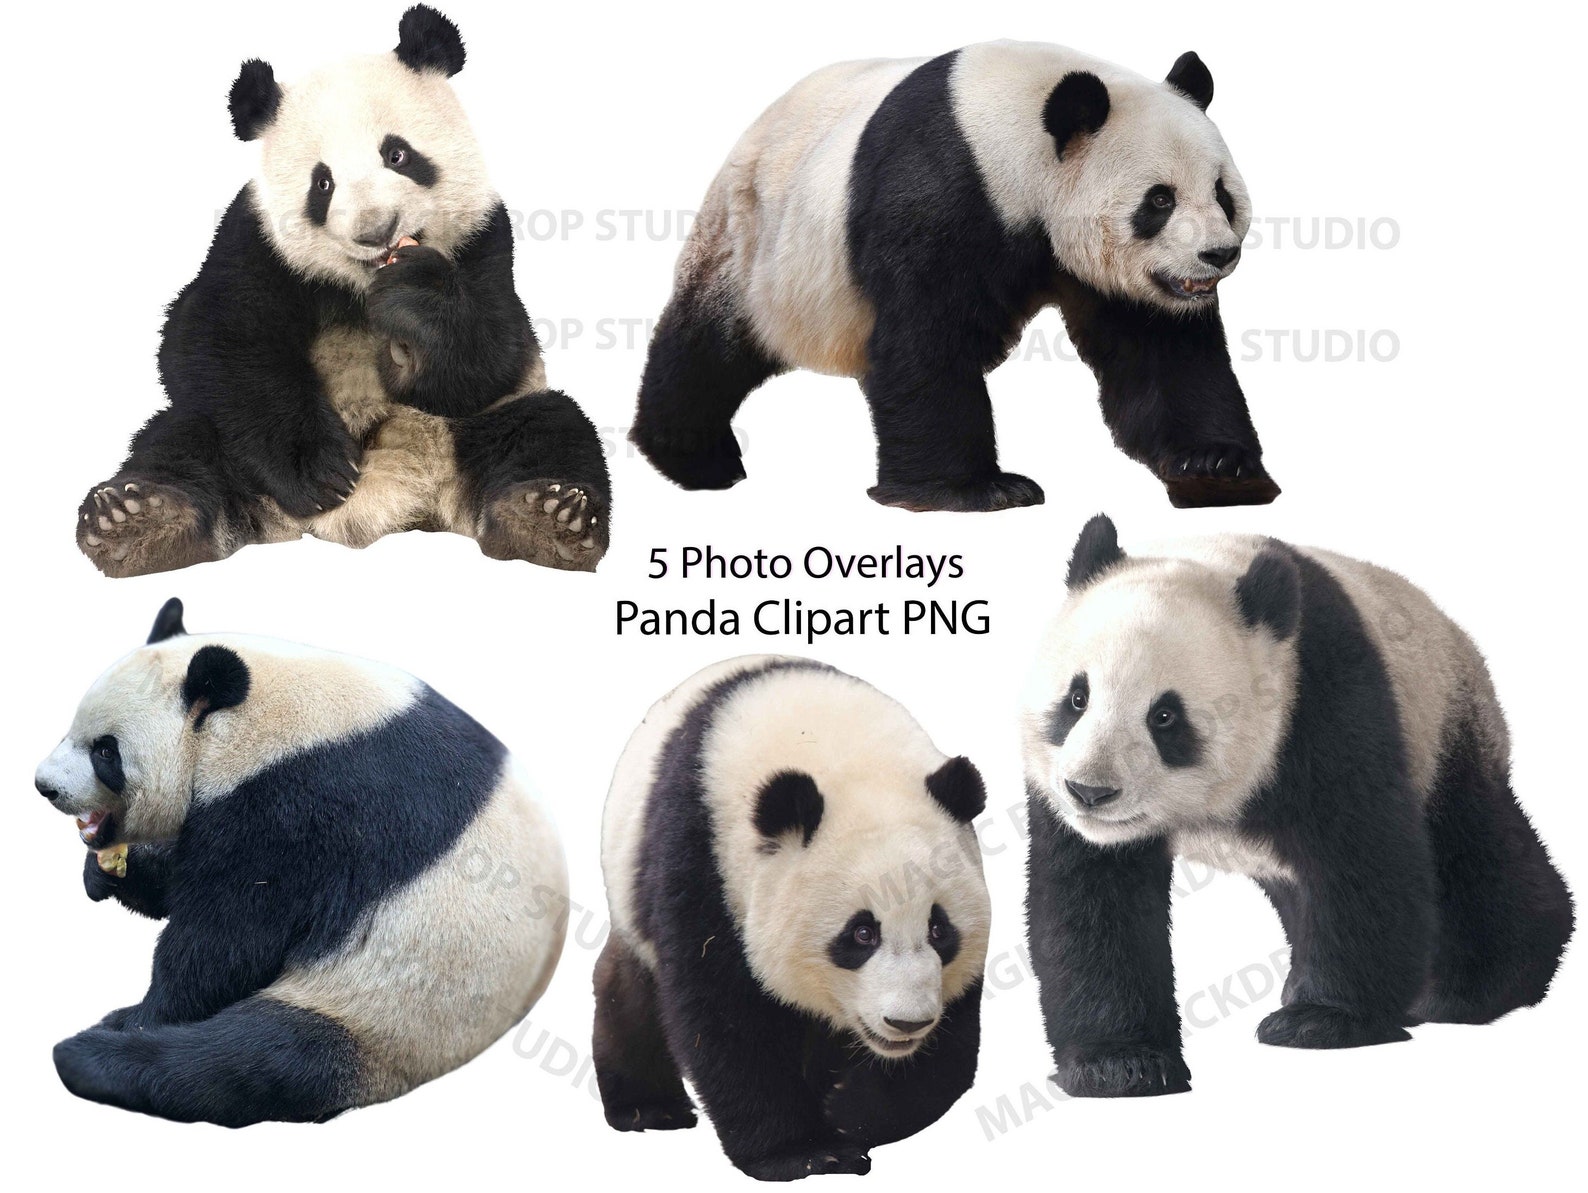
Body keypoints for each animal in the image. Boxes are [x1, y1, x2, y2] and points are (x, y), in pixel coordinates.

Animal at [33, 598, 568, 1125]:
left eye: (106, 751)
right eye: (72, 730)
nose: (45, 786)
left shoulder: (305, 806)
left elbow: (228, 938)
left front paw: (146, 1013)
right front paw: (105, 871)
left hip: (393, 1005)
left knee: (256, 1060)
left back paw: (92, 1053)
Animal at [76, 6, 610, 577]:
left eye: (398, 154)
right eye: (322, 184)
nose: (376, 231)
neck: (360, 285)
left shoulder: (486, 240)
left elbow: (494, 354)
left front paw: (416, 306)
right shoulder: (253, 242)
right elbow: (213, 334)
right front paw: (319, 471)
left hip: (473, 430)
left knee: (547, 427)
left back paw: (546, 517)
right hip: (223, 439)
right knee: (180, 439)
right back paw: (140, 520)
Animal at [596, 657, 991, 1180]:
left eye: (939, 929)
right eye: (861, 933)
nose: (906, 1023)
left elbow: (950, 1046)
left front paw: (849, 1111)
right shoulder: (702, 857)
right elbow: (725, 1019)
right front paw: (807, 1152)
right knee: (631, 993)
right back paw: (647, 1108)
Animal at [631, 40, 1274, 513]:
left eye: (1222, 194)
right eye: (1159, 200)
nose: (1217, 254)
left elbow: (1160, 350)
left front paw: (1215, 465)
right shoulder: (943, 189)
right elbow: (924, 337)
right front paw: (976, 490)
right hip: (756, 238)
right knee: (707, 346)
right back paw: (694, 457)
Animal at [1021, 516, 1574, 1096]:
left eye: (1165, 717)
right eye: (1077, 698)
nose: (1090, 792)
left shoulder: (1325, 703)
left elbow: (1361, 860)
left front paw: (1324, 1020)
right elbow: (1094, 903)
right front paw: (1120, 1064)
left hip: (1443, 727)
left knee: (1475, 850)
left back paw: (1470, 985)